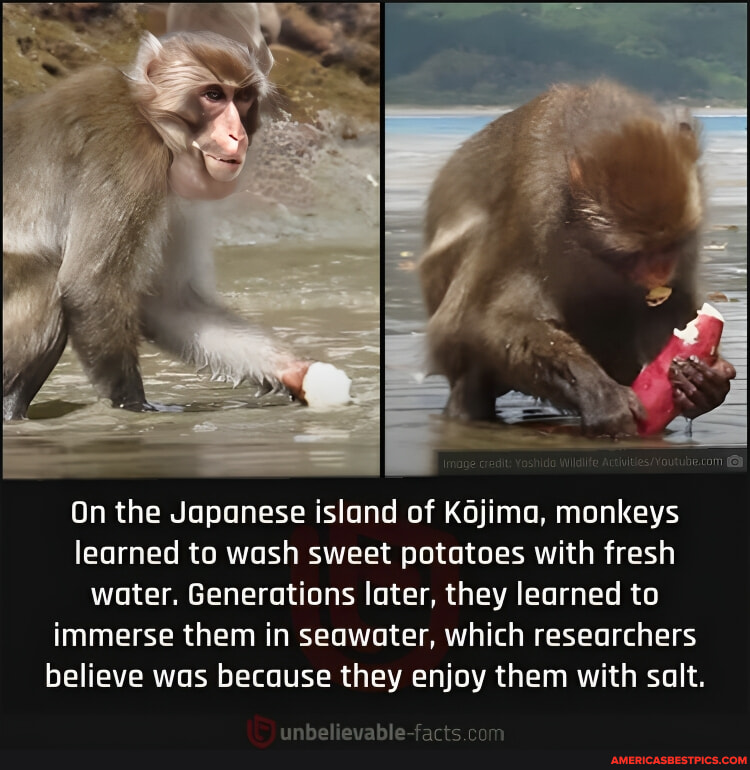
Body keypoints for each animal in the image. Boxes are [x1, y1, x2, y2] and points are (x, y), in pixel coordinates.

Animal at [3, 30, 349, 421]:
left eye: (243, 98)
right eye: (213, 95)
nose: (238, 136)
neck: (151, 119)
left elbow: (169, 303)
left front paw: (298, 372)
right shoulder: (134, 156)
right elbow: (90, 286)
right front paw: (136, 407)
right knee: (44, 281)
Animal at [419, 80, 735, 437]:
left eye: (672, 245)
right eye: (634, 254)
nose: (659, 274)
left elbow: (674, 305)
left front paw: (700, 384)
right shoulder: (532, 207)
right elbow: (493, 320)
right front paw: (598, 393)